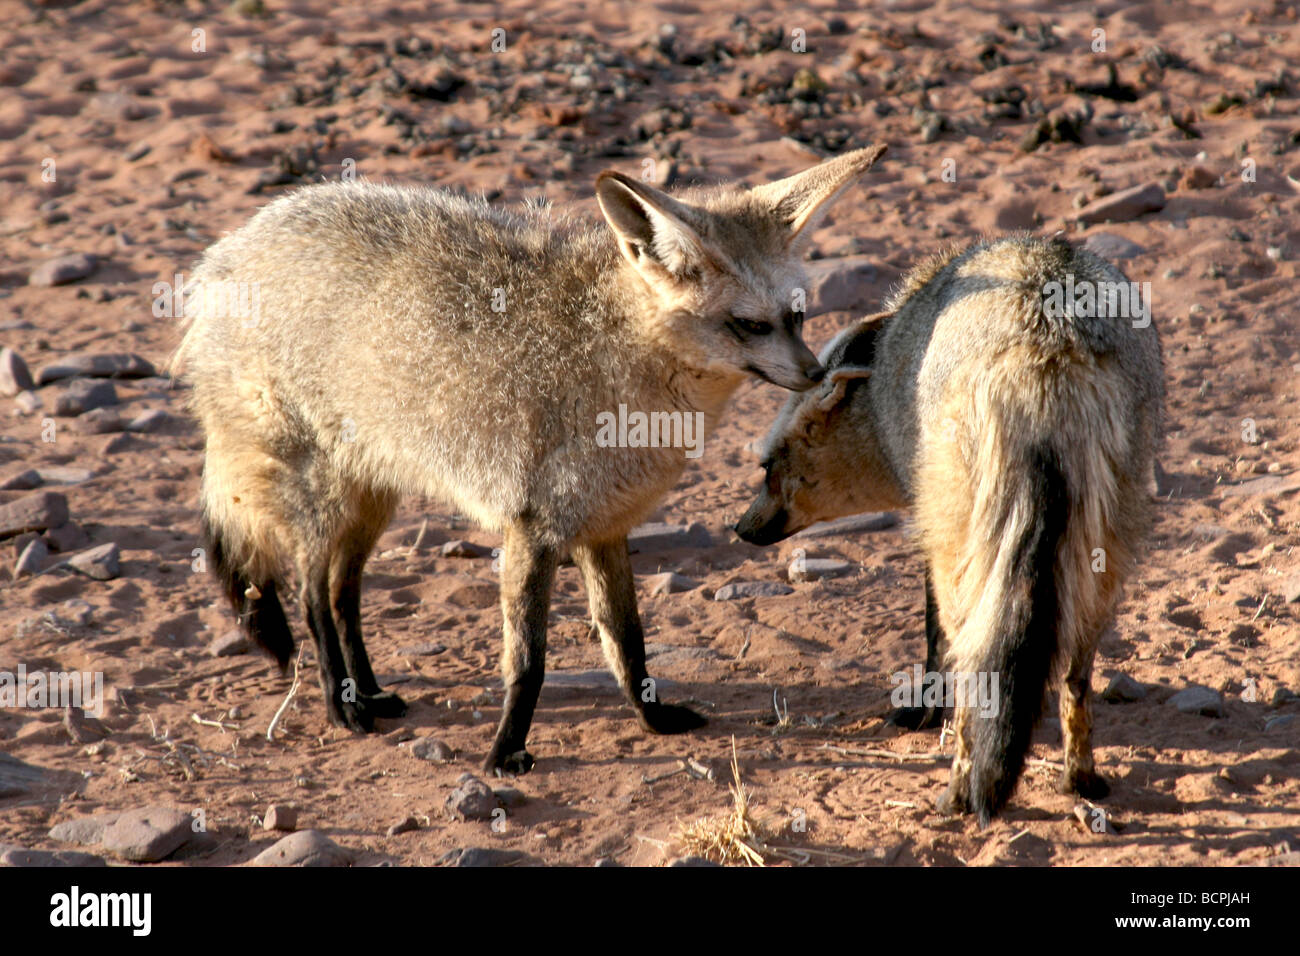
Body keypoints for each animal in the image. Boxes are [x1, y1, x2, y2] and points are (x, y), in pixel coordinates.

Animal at [171, 145, 887, 774]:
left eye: (797, 317)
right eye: (750, 325)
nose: (817, 372)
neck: (622, 370)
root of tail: (230, 249)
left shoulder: (606, 527)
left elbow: (627, 641)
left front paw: (652, 718)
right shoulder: (532, 532)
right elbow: (529, 664)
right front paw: (505, 752)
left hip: (373, 499)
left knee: (344, 594)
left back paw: (366, 690)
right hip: (325, 500)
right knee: (312, 594)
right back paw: (338, 702)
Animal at [735, 234, 1164, 824]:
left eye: (766, 469)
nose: (739, 528)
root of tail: (1051, 338)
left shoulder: (932, 530)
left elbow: (934, 636)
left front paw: (920, 710)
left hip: (971, 551)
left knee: (975, 663)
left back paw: (960, 790)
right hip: (1101, 557)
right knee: (1075, 677)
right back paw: (1080, 779)